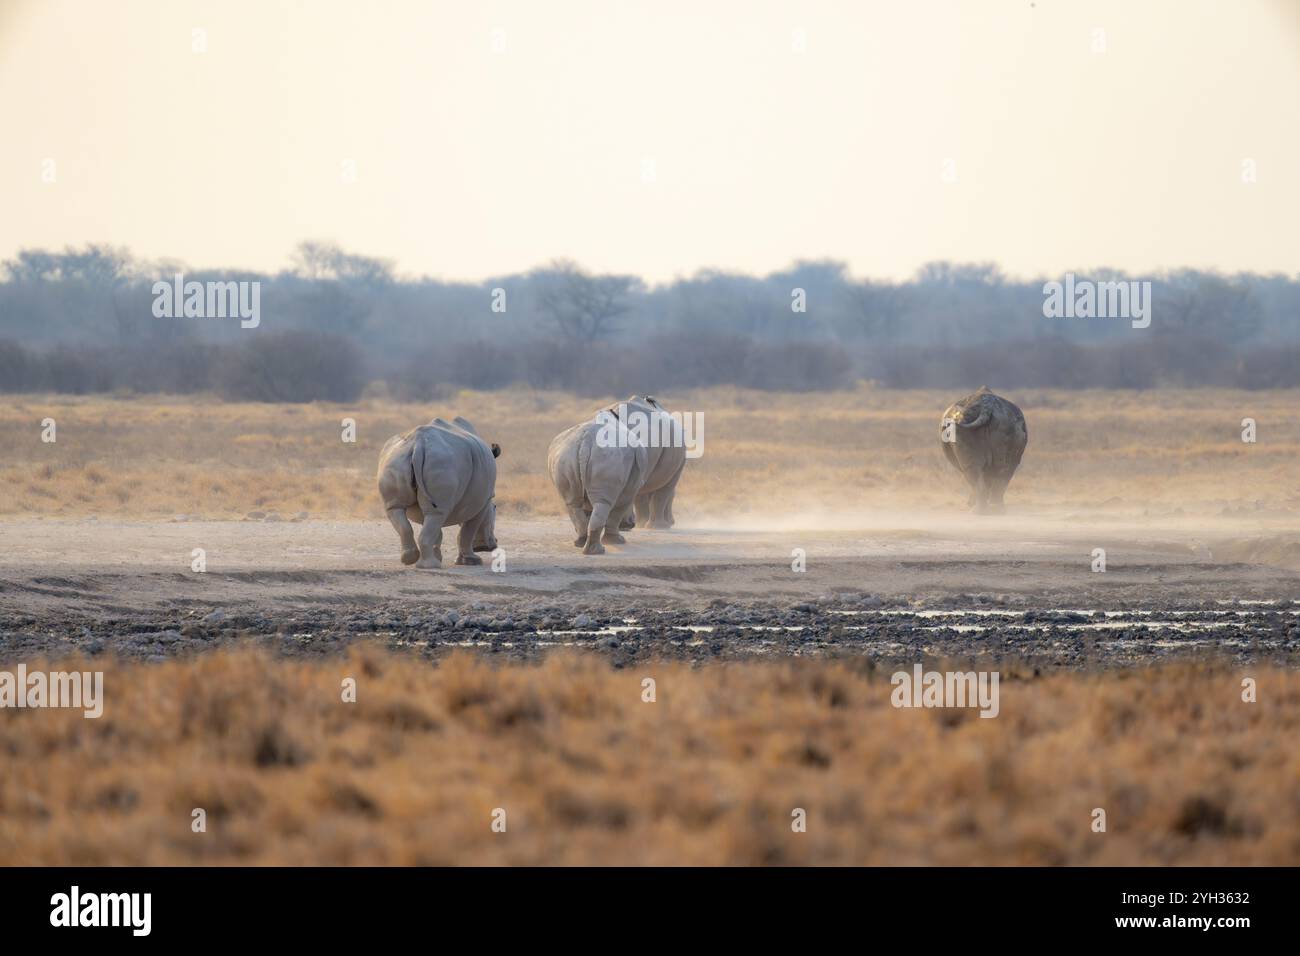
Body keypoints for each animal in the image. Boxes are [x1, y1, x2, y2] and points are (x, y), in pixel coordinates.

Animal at [377, 416, 500, 568]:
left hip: (395, 460)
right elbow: (468, 531)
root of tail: (418, 444)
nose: (490, 545)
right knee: (437, 513)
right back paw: (430, 565)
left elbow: (436, 531)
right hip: (443, 462)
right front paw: (472, 561)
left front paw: (440, 556)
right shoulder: (483, 501)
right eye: (495, 508)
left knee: (397, 509)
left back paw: (411, 560)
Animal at [548, 413, 648, 555]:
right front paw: (617, 541)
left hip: (565, 457)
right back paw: (598, 550)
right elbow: (618, 511)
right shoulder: (631, 489)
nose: (631, 524)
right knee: (604, 504)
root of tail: (586, 441)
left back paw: (581, 544)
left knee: (573, 504)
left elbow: (588, 512)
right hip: (609, 459)